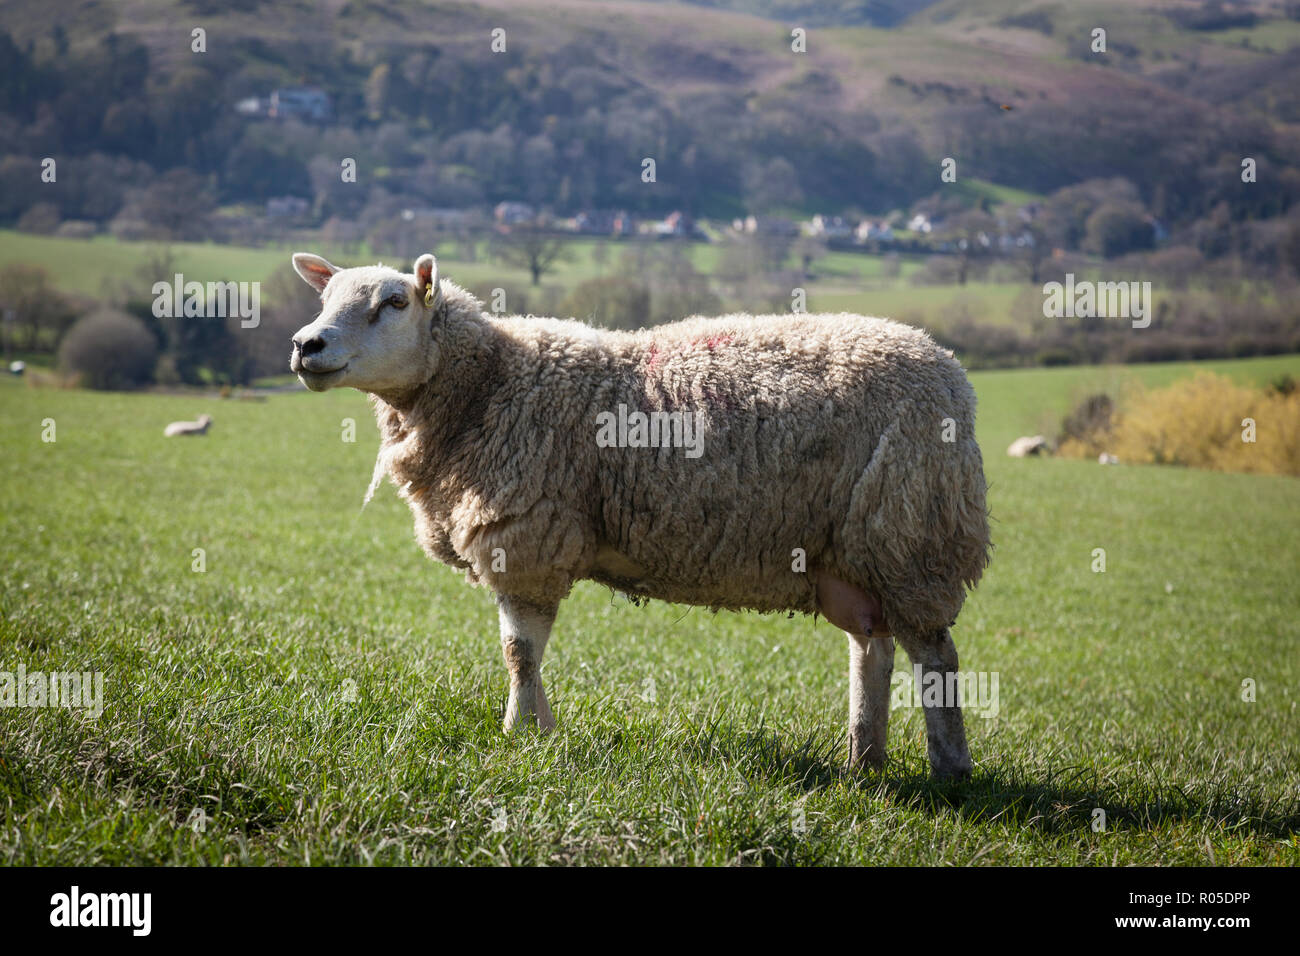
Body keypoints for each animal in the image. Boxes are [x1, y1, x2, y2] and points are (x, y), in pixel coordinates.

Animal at [289, 252, 991, 779]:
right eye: (326, 299)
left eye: (394, 302)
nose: (305, 344)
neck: (488, 385)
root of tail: (950, 368)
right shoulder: (525, 547)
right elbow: (525, 654)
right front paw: (542, 731)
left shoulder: (528, 538)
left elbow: (519, 652)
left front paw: (519, 735)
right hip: (853, 554)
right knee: (872, 649)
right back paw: (862, 762)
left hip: (910, 533)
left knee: (936, 657)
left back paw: (949, 769)